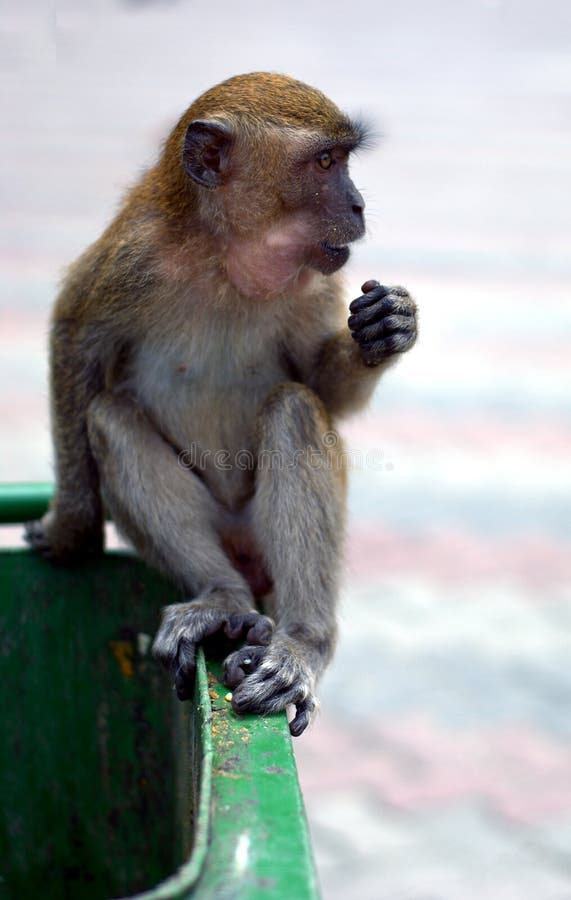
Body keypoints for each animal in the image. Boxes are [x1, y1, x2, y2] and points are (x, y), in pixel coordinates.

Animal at [25, 73, 417, 736]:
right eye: (325, 162)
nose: (359, 205)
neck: (226, 258)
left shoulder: (317, 282)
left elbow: (320, 389)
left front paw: (386, 329)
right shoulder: (131, 256)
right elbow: (75, 341)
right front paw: (73, 526)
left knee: (293, 409)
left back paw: (301, 645)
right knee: (108, 417)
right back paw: (219, 598)